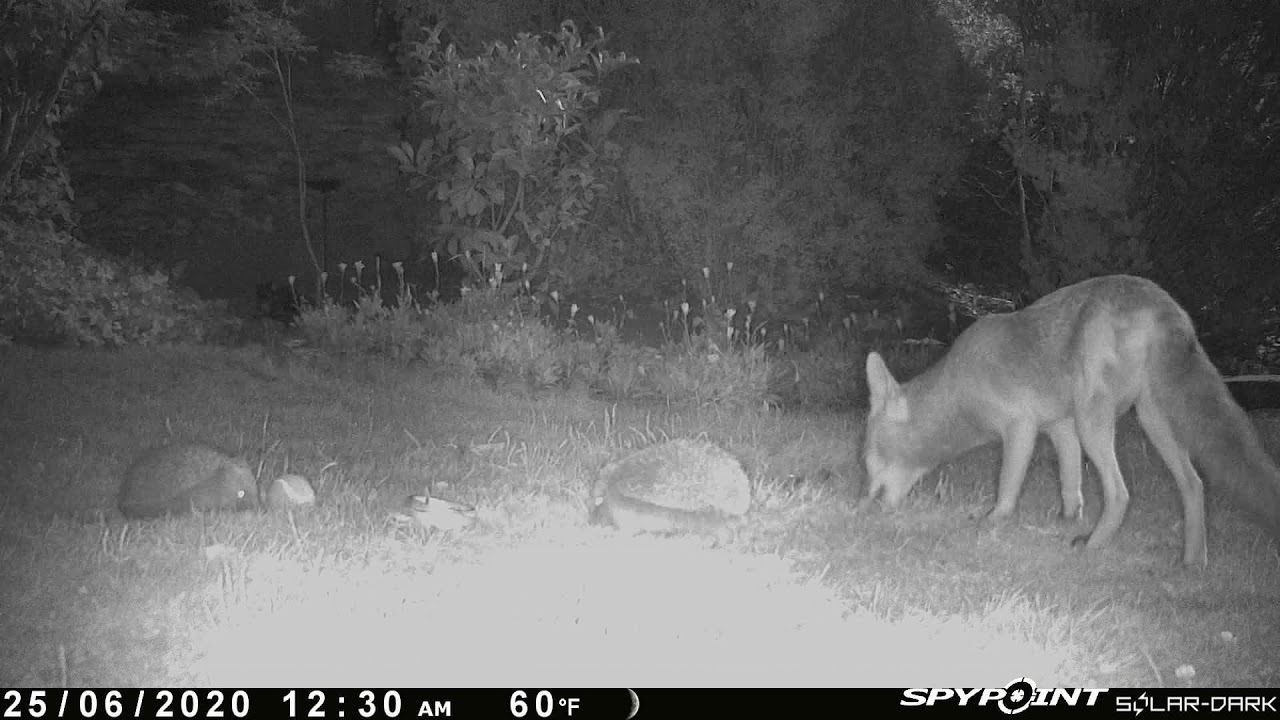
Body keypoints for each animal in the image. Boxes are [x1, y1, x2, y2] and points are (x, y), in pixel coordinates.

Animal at [859, 274, 1280, 568]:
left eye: (868, 460)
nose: (863, 505)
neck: (960, 387)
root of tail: (1161, 301)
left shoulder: (1021, 427)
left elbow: (1007, 487)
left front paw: (992, 522)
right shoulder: (1060, 427)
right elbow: (1070, 484)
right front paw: (1067, 520)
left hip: (1096, 422)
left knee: (1120, 493)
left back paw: (1093, 545)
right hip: (1152, 421)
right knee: (1193, 485)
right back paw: (1192, 561)